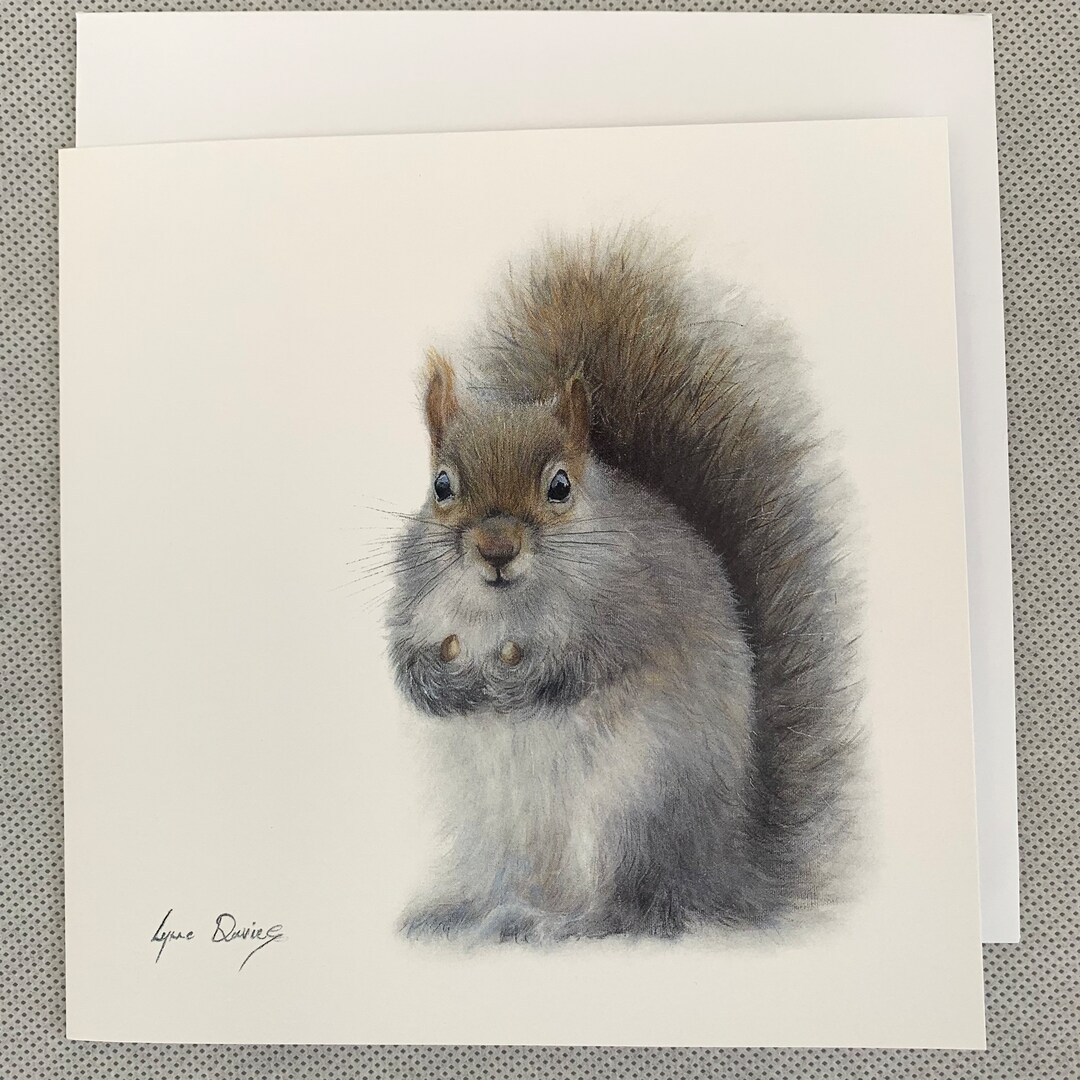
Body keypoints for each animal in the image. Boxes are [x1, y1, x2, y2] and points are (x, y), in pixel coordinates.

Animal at [386, 230, 861, 944]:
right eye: (441, 486)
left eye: (560, 485)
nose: (496, 550)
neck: (504, 608)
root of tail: (725, 871)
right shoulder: (415, 592)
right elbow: (402, 657)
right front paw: (437, 683)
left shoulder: (634, 601)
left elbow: (597, 661)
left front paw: (529, 680)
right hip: (494, 823)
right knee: (518, 878)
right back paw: (469, 911)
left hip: (632, 807)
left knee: (636, 909)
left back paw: (559, 924)